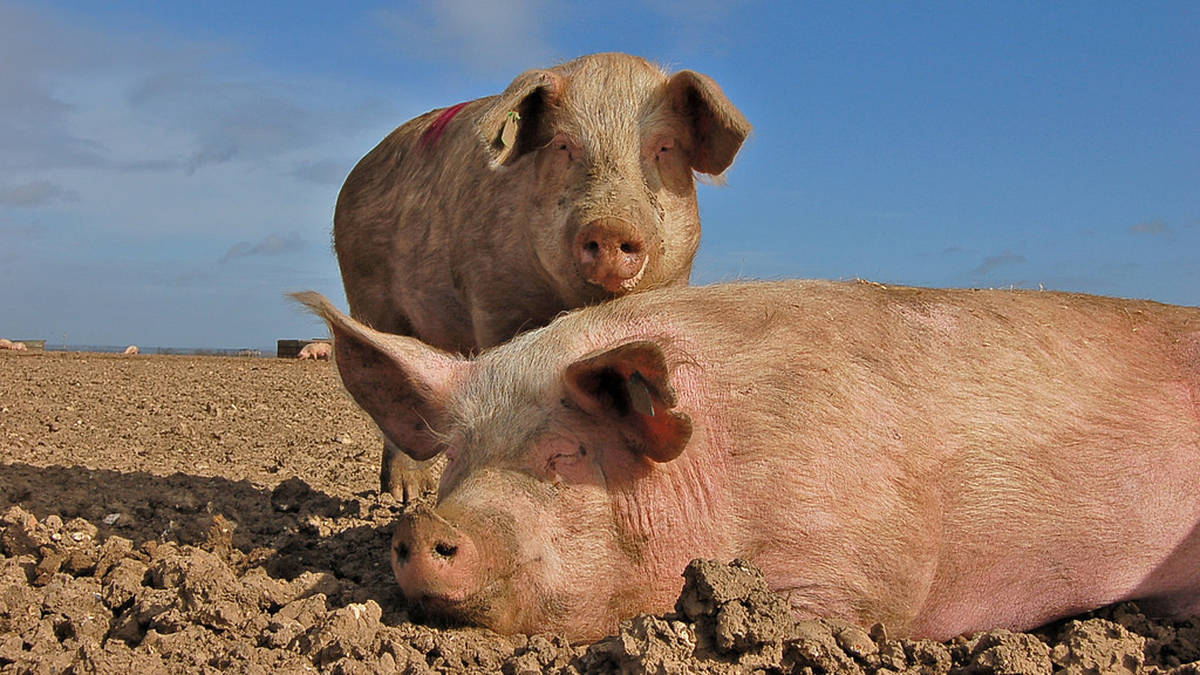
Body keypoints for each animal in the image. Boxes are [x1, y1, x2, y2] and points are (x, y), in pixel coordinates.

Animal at [333, 52, 751, 501]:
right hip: (368, 291)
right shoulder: (495, 302)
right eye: (564, 146)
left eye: (664, 147)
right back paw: (404, 494)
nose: (609, 225)